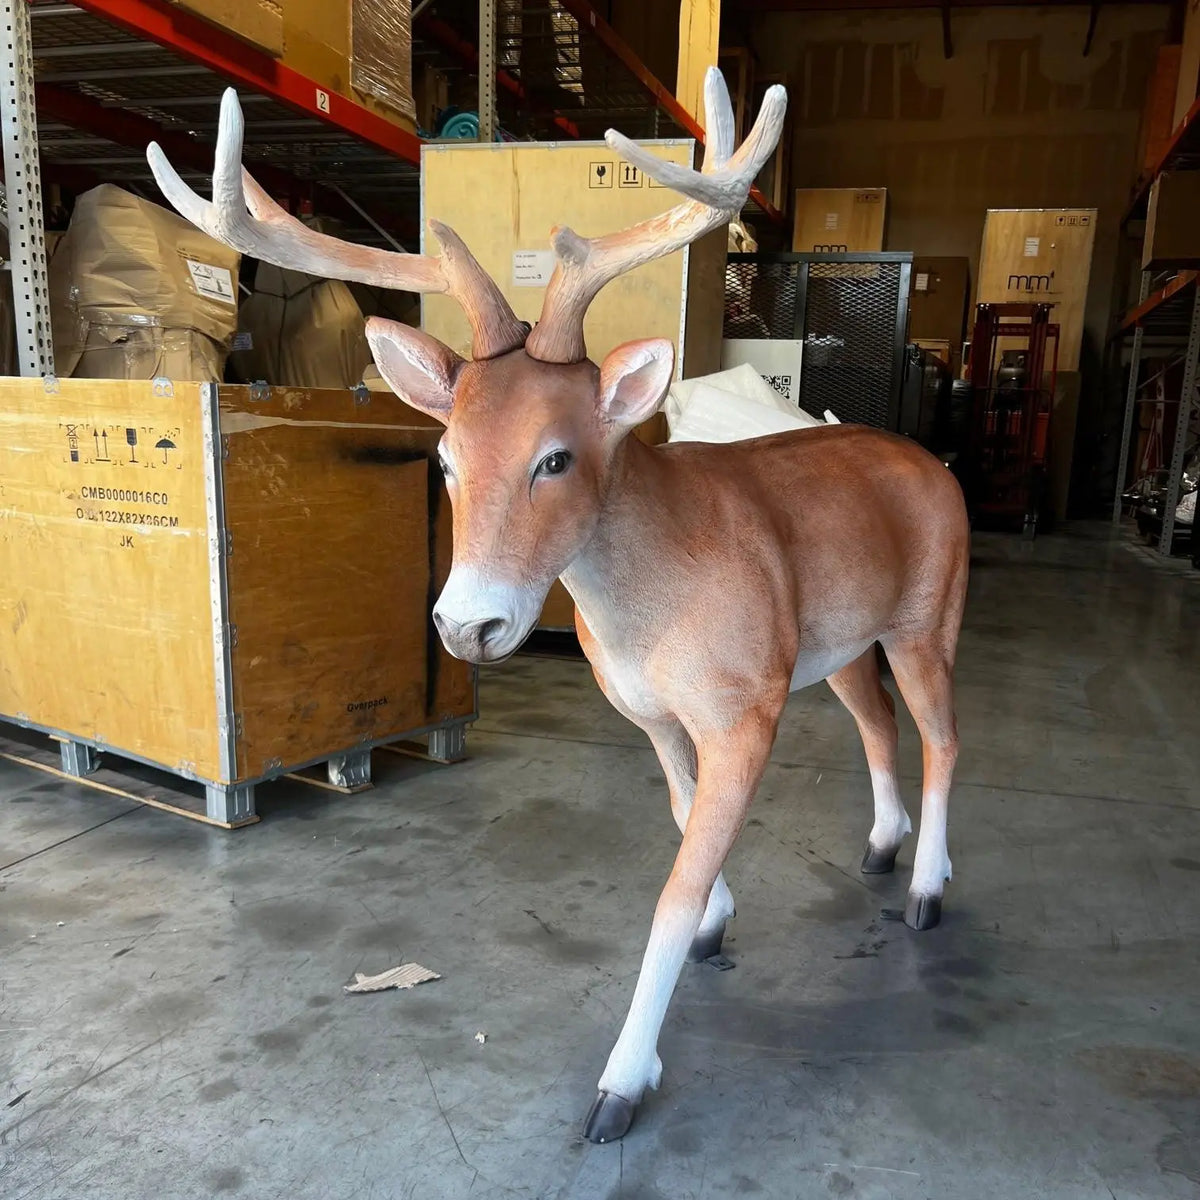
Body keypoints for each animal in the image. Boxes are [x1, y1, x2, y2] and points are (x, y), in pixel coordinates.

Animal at [148, 70, 969, 1144]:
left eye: (557, 457)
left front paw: (622, 1082)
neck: (654, 611)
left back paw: (928, 890)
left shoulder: (746, 702)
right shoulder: (652, 710)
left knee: (944, 736)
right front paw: (719, 924)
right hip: (840, 644)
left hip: (929, 612)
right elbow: (680, 818)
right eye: (445, 458)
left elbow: (671, 888)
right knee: (877, 722)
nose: (467, 624)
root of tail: (935, 464)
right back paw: (880, 846)